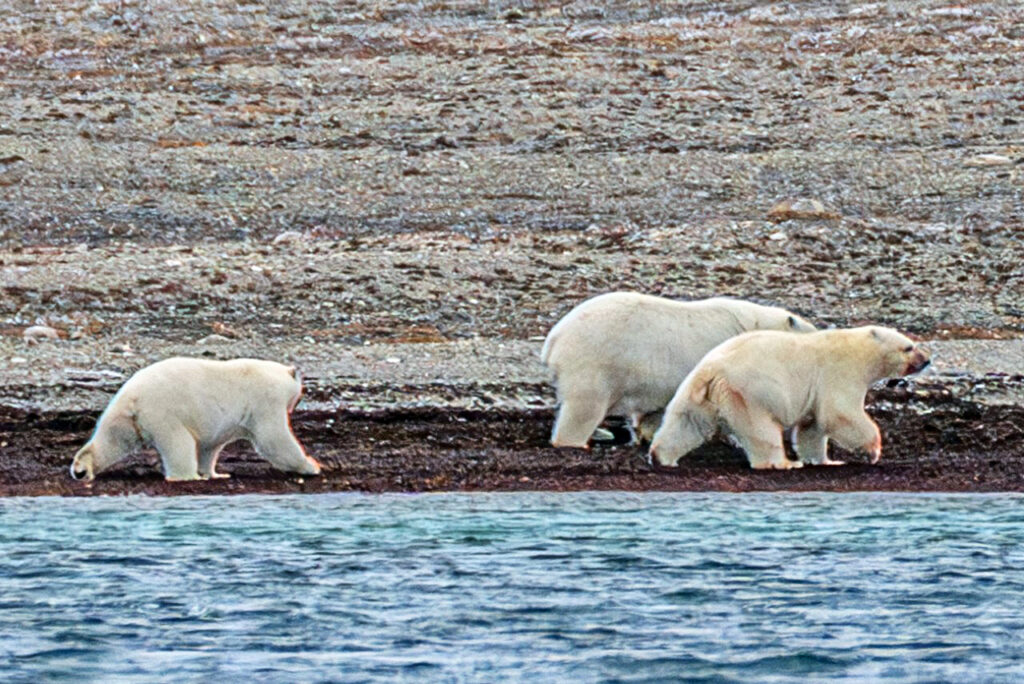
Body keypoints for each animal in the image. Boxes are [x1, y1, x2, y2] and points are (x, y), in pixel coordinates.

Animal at [70, 357, 322, 481]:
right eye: (299, 392)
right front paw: (312, 466)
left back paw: (82, 468)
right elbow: (274, 438)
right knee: (178, 444)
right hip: (164, 412)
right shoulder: (265, 400)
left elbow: (212, 445)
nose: (295, 406)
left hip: (126, 416)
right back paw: (187, 476)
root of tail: (132, 396)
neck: (276, 376)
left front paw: (214, 473)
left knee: (112, 439)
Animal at [649, 326, 931, 470]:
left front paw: (827, 460)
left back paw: (660, 456)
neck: (859, 349)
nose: (927, 360)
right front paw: (873, 450)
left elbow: (813, 426)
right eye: (909, 347)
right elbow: (840, 413)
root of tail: (711, 371)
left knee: (686, 422)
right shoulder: (840, 371)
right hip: (748, 393)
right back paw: (783, 463)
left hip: (699, 394)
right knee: (760, 430)